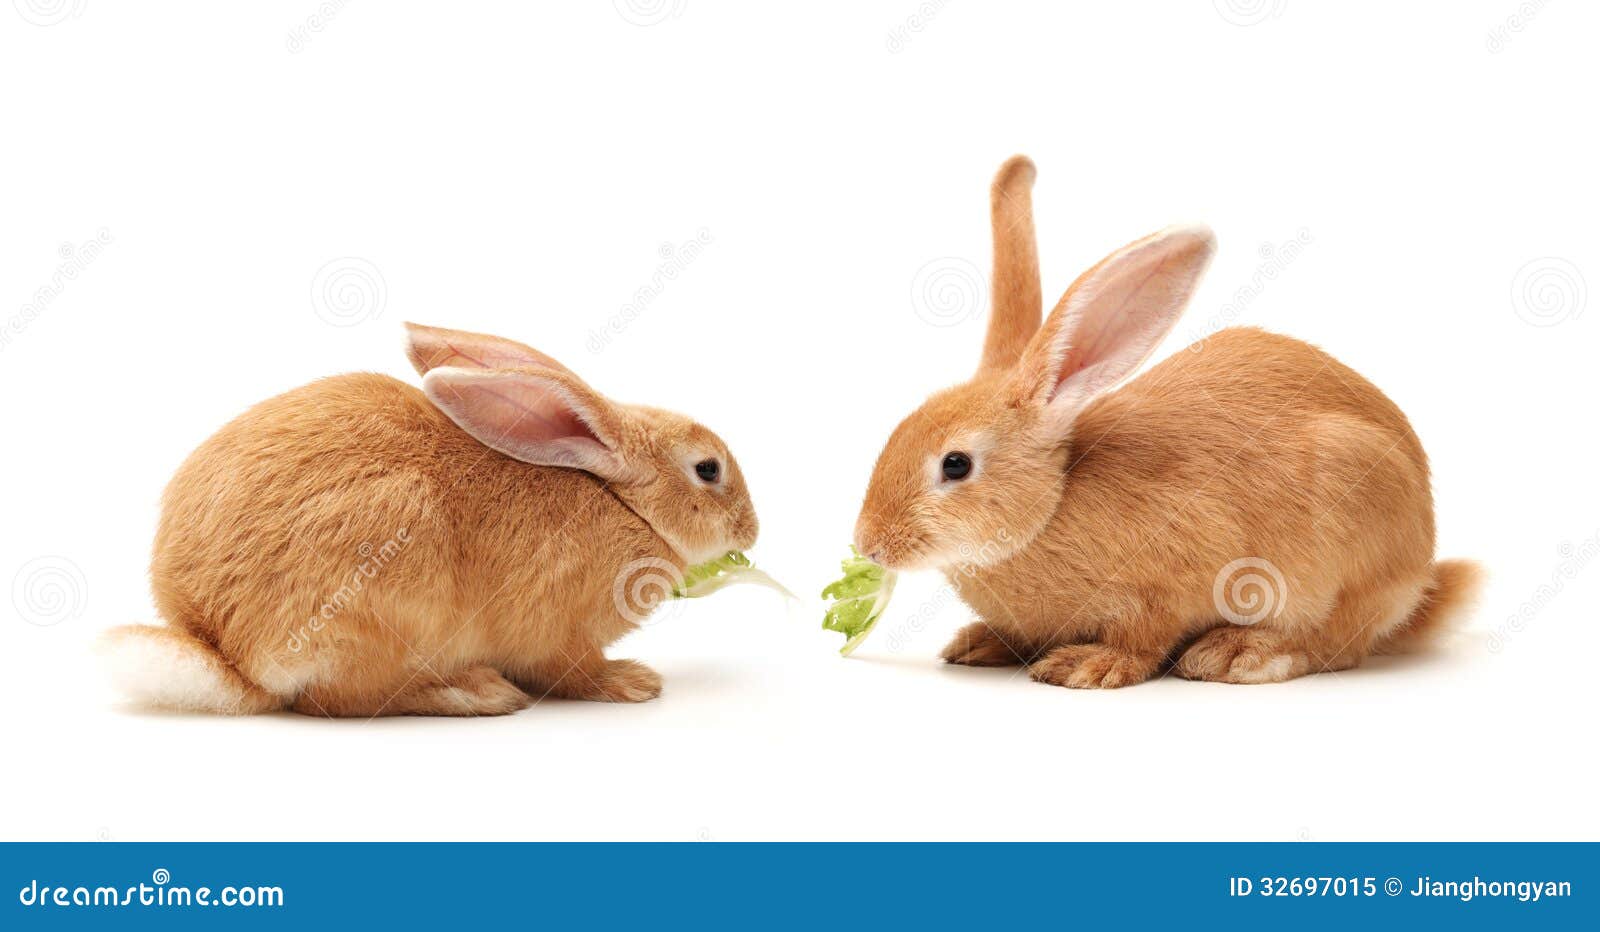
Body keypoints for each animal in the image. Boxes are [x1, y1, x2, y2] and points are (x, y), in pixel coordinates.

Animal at [99, 323, 759, 716]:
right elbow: (572, 671)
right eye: (708, 469)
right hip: (384, 598)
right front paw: (635, 683)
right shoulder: (559, 633)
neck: (623, 503)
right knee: (347, 698)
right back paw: (477, 692)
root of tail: (225, 651)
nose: (752, 530)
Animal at [853, 155, 1481, 688]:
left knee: (1335, 642)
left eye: (956, 465)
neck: (1053, 504)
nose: (870, 546)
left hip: (1349, 541)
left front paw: (1089, 666)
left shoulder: (1167, 585)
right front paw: (979, 642)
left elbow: (1143, 637)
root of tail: (1417, 581)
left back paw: (1239, 653)